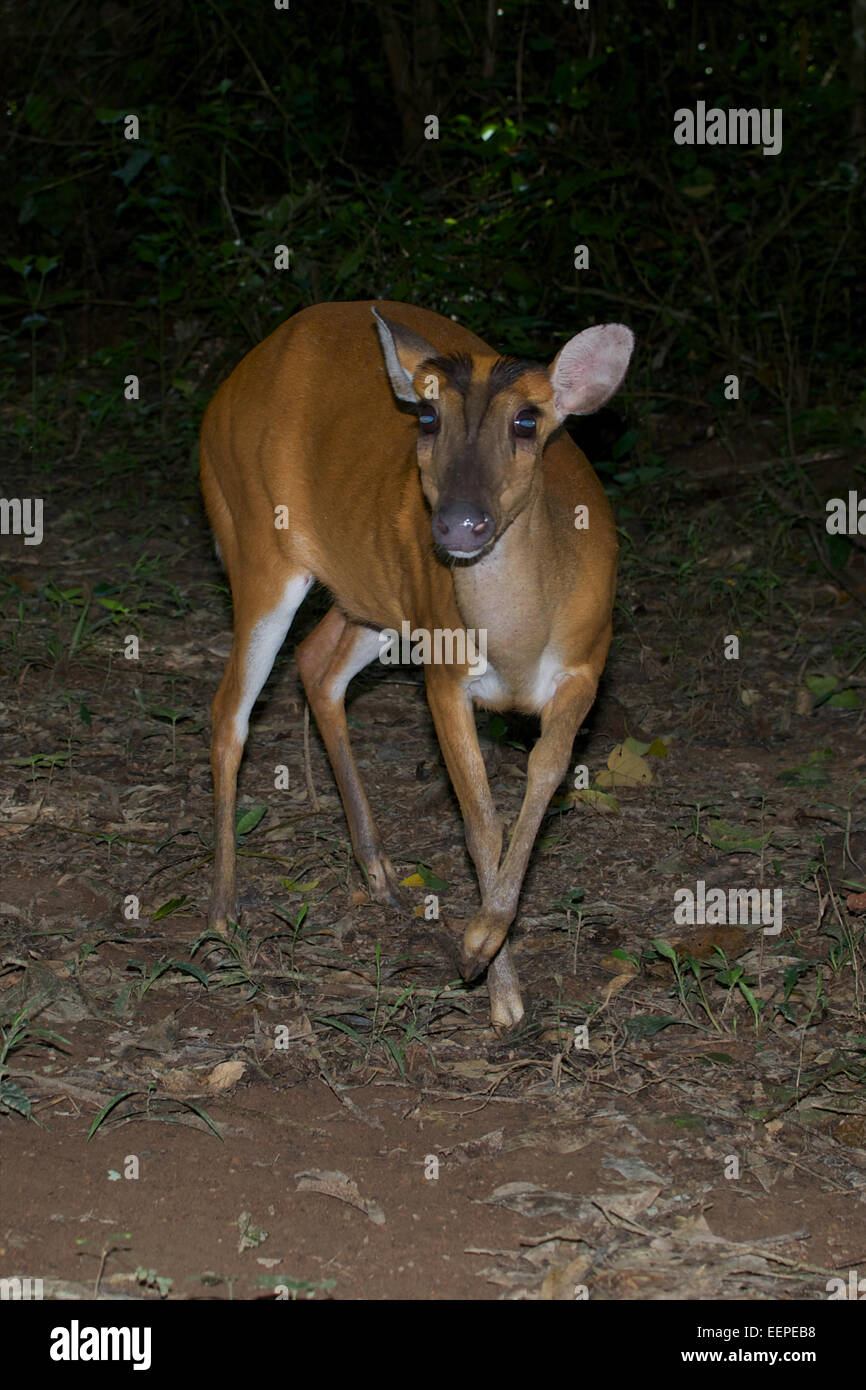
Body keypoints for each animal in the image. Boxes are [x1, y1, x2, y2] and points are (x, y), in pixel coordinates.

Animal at [200, 301, 634, 1031]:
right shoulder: (444, 671)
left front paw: (487, 944)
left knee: (317, 665)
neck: (518, 637)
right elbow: (480, 820)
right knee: (230, 711)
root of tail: (229, 387)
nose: (459, 525)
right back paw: (226, 911)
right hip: (255, 541)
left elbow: (544, 776)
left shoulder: (588, 665)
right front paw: (492, 976)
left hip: (377, 594)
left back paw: (378, 875)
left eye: (528, 420)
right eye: (427, 417)